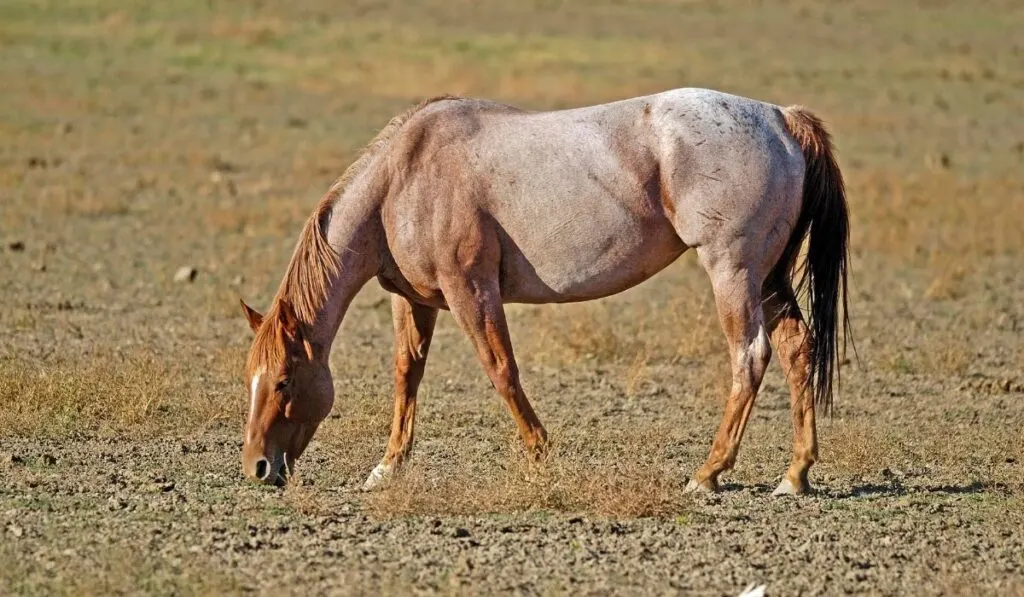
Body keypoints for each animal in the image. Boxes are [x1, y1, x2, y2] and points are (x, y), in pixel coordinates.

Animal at [238, 88, 851, 496]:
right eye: (252, 380)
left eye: (284, 380)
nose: (256, 468)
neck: (404, 177)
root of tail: (779, 119)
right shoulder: (413, 301)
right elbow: (406, 376)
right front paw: (389, 466)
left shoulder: (471, 289)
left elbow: (501, 369)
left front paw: (539, 453)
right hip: (766, 279)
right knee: (797, 349)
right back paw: (795, 475)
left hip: (733, 273)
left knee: (750, 356)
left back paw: (708, 474)